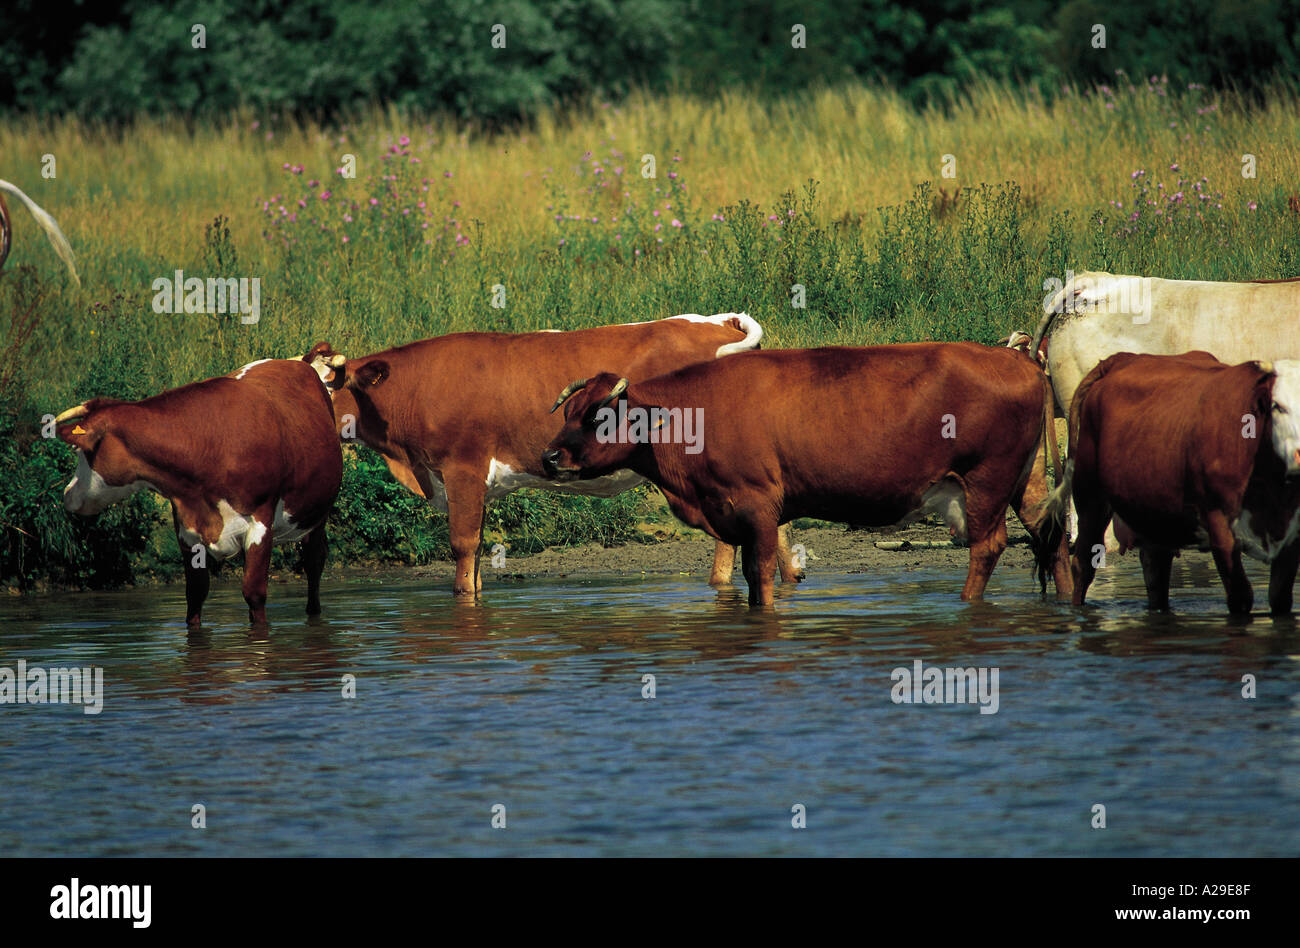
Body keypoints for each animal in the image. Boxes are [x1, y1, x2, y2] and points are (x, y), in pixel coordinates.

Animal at [54, 358, 343, 626]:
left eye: (81, 451)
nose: (67, 493)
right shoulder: (186, 528)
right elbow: (195, 594)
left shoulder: (261, 523)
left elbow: (254, 593)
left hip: (316, 516)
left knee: (314, 564)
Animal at [541, 343, 1072, 607]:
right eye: (569, 410)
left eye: (598, 416)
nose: (549, 456)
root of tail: (1020, 359)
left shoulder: (756, 507)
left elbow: (761, 578)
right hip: (1026, 481)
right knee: (1053, 535)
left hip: (986, 480)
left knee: (988, 547)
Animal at [1039, 352, 1300, 614]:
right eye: (1278, 406)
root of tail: (1122, 358)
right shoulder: (1219, 524)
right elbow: (1241, 597)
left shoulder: (1291, 538)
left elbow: (1280, 599)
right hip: (1091, 497)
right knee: (1083, 566)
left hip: (1153, 516)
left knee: (1156, 575)